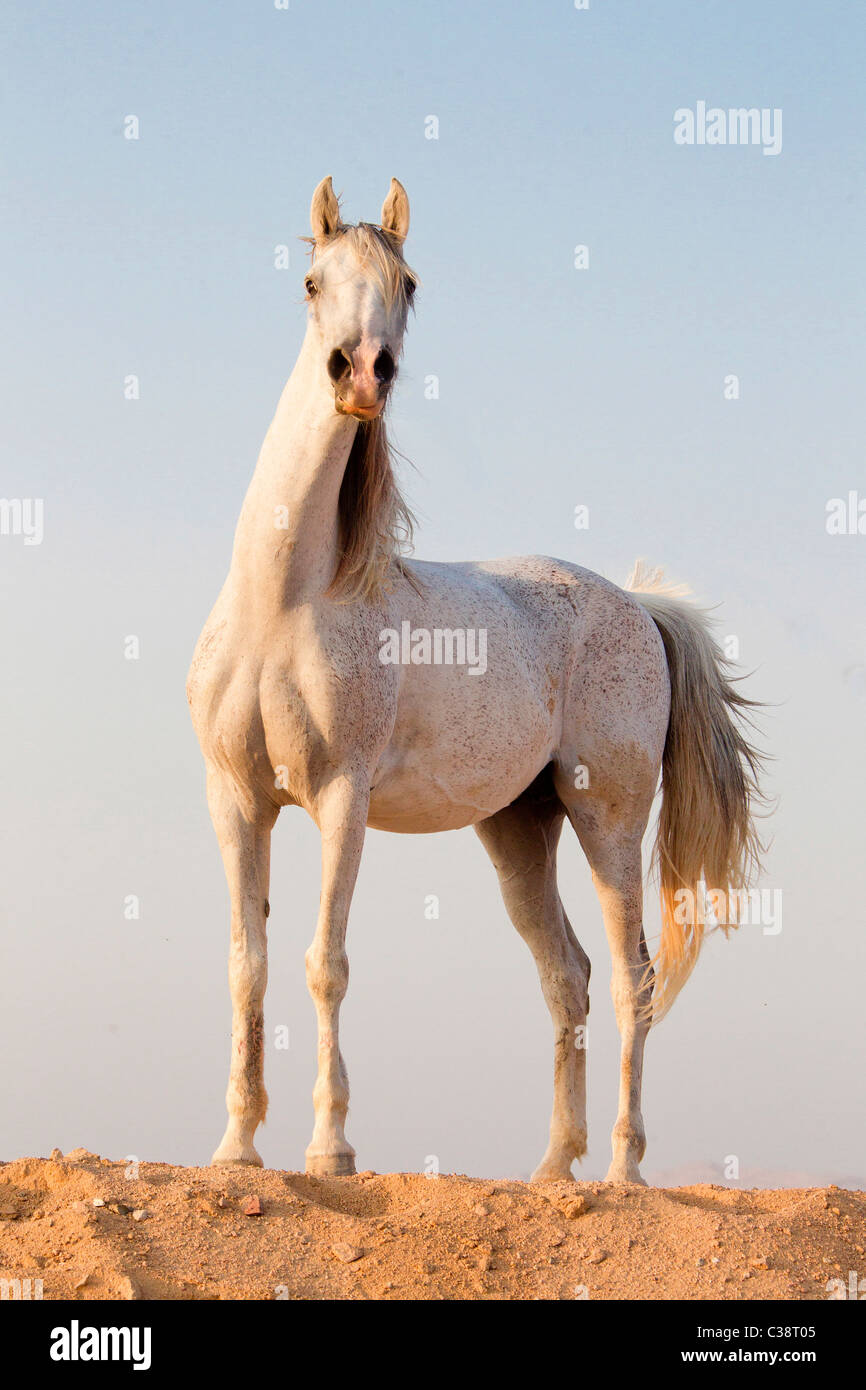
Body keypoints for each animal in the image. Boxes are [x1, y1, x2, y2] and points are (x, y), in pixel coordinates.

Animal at [187, 176, 763, 1184]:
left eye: (409, 285)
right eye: (311, 281)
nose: (360, 373)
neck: (282, 602)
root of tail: (639, 605)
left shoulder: (340, 799)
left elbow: (325, 962)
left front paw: (330, 1149)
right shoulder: (239, 800)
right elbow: (246, 964)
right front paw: (236, 1148)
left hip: (608, 820)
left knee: (631, 979)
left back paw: (623, 1170)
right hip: (519, 832)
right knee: (567, 977)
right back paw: (553, 1169)